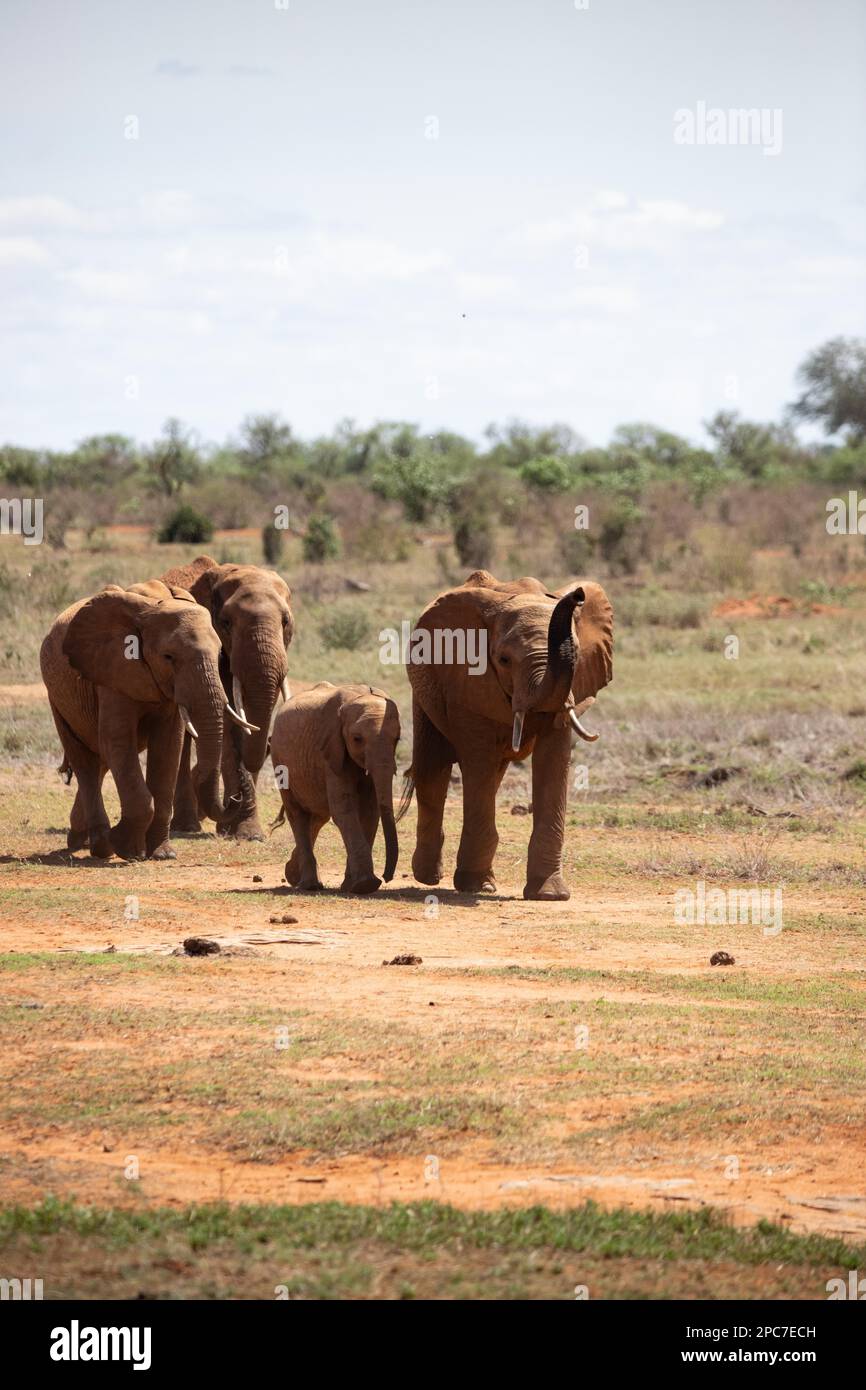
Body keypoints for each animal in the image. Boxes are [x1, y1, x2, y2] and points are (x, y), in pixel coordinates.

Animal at [39, 580, 255, 860]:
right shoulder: (111, 672)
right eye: (168, 657)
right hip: (57, 697)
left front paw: (162, 854)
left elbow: (168, 746)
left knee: (100, 761)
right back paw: (101, 846)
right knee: (85, 760)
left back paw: (81, 840)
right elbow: (118, 741)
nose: (234, 798)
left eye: (220, 654)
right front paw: (128, 849)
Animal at [160, 556, 294, 840]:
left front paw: (242, 831)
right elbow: (229, 722)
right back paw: (187, 825)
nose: (269, 744)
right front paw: (248, 834)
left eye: (286, 622)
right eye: (226, 623)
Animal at [270, 682, 400, 894]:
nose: (387, 877)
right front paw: (365, 885)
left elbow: (369, 813)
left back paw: (293, 875)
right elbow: (344, 810)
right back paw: (309, 885)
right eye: (357, 739)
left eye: (397, 739)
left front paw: (353, 886)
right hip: (280, 761)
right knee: (297, 815)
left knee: (318, 817)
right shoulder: (331, 753)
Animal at [402, 570, 613, 901]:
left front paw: (550, 895)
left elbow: (553, 760)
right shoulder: (468, 684)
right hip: (425, 693)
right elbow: (480, 761)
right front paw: (475, 887)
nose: (577, 594)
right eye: (503, 660)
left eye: (578, 655)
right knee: (434, 769)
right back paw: (428, 877)